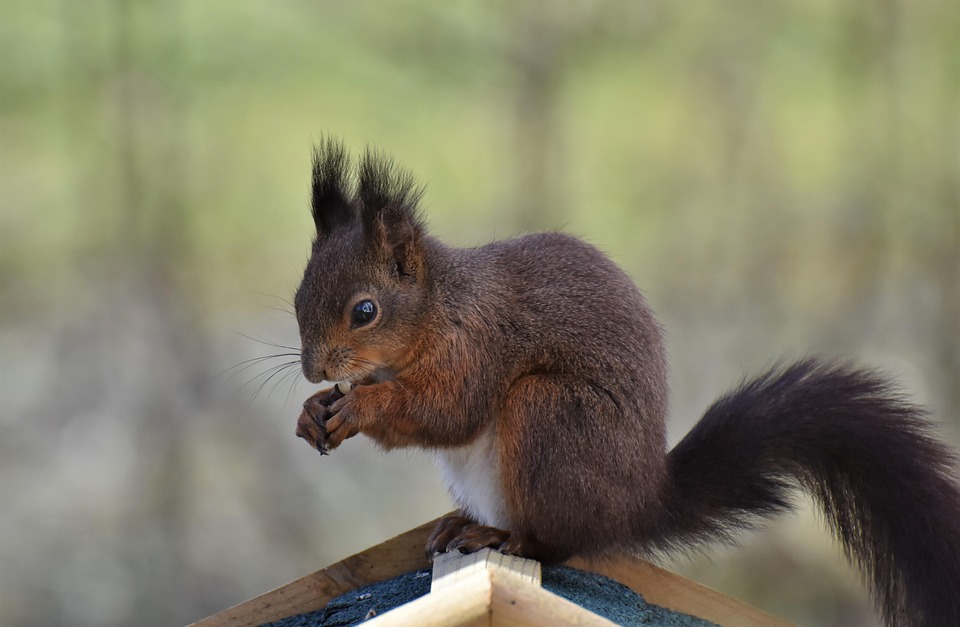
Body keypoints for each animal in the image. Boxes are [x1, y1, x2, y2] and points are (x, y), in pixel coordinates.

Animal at [292, 138, 960, 626]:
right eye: (299, 297)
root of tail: (637, 502)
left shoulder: (478, 342)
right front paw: (312, 410)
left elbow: (447, 409)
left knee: (555, 542)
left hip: (552, 416)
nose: (313, 368)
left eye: (365, 310)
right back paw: (462, 525)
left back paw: (503, 535)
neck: (438, 305)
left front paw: (360, 409)